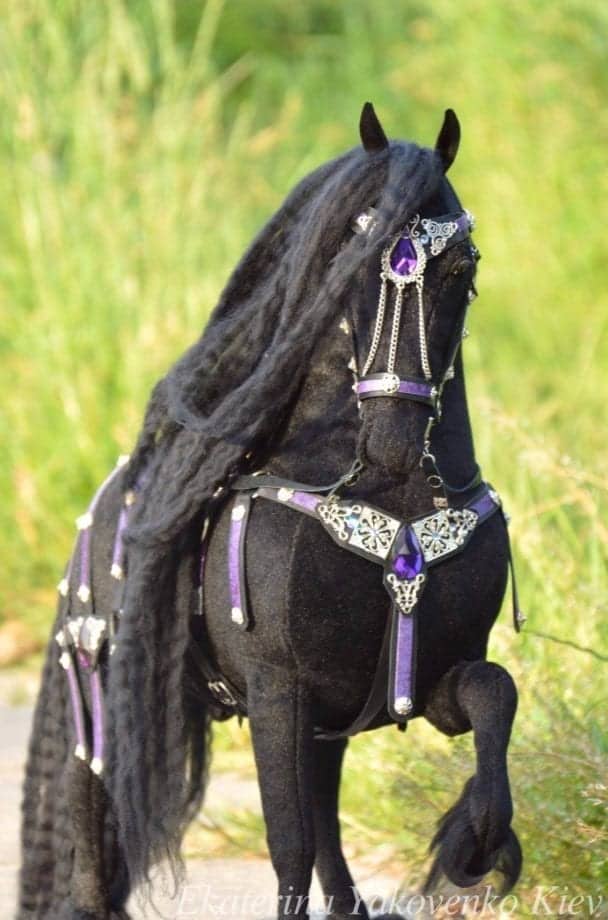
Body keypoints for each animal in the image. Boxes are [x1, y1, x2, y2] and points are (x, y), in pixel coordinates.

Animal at [18, 103, 523, 920]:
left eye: (462, 267)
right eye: (350, 262)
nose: (392, 444)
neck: (391, 509)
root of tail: (96, 516)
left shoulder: (426, 680)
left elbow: (492, 693)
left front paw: (475, 846)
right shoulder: (275, 690)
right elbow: (288, 845)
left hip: (325, 726)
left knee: (326, 823)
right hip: (107, 705)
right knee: (92, 821)